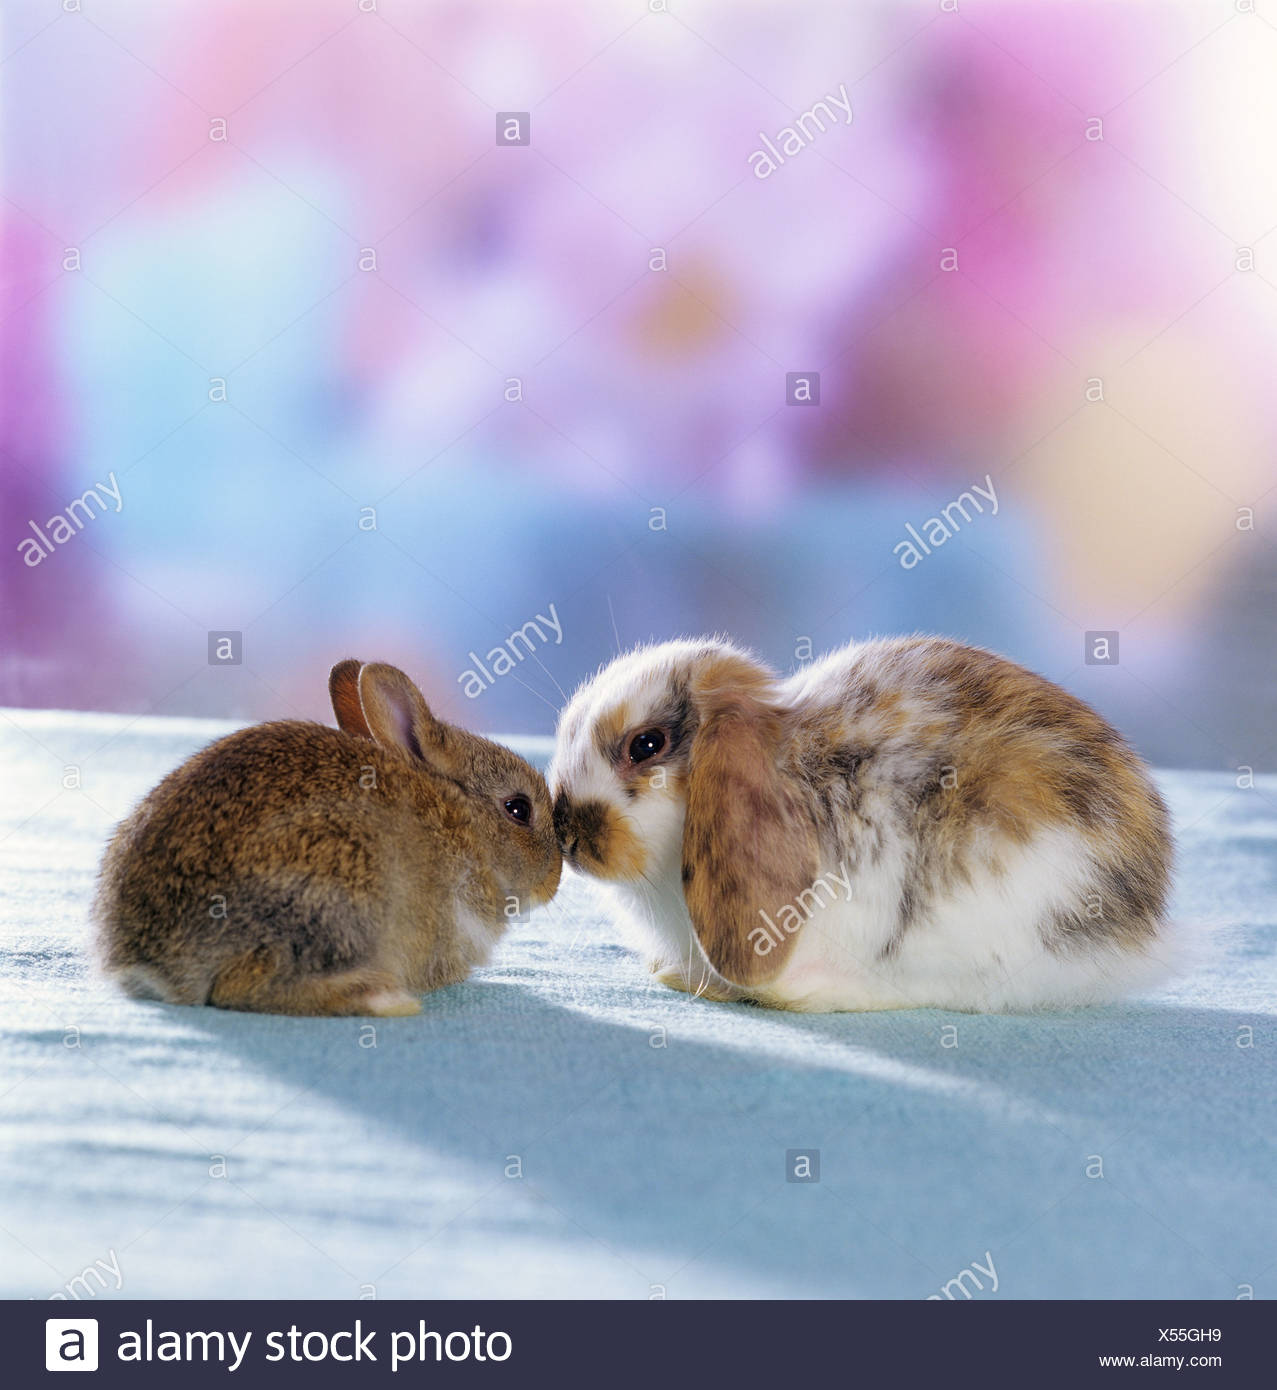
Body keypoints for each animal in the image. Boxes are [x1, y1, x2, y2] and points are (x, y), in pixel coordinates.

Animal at [93, 659, 561, 1017]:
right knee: (241, 987)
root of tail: (150, 962)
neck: (461, 819)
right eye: (517, 809)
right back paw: (385, 1000)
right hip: (334, 891)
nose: (554, 882)